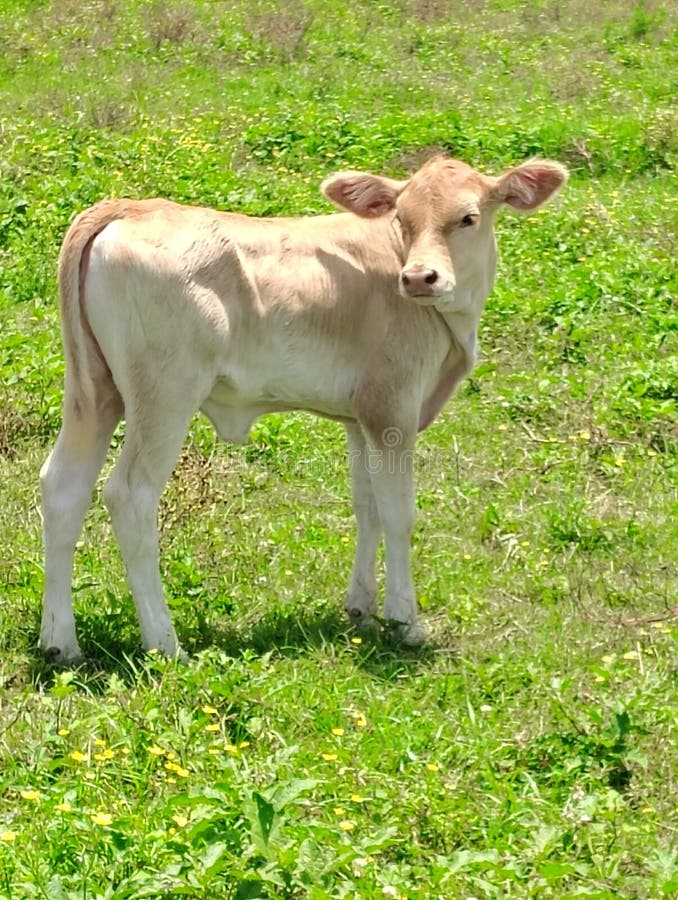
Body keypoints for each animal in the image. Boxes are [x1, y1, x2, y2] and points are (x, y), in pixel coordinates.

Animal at [39, 154, 567, 664]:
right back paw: (165, 644)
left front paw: (361, 609)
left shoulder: (359, 417)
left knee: (63, 486)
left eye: (468, 217)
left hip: (94, 391)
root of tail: (129, 207)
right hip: (165, 394)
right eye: (403, 218)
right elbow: (398, 513)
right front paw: (405, 622)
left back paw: (60, 643)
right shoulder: (392, 408)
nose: (420, 277)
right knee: (131, 496)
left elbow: (367, 507)